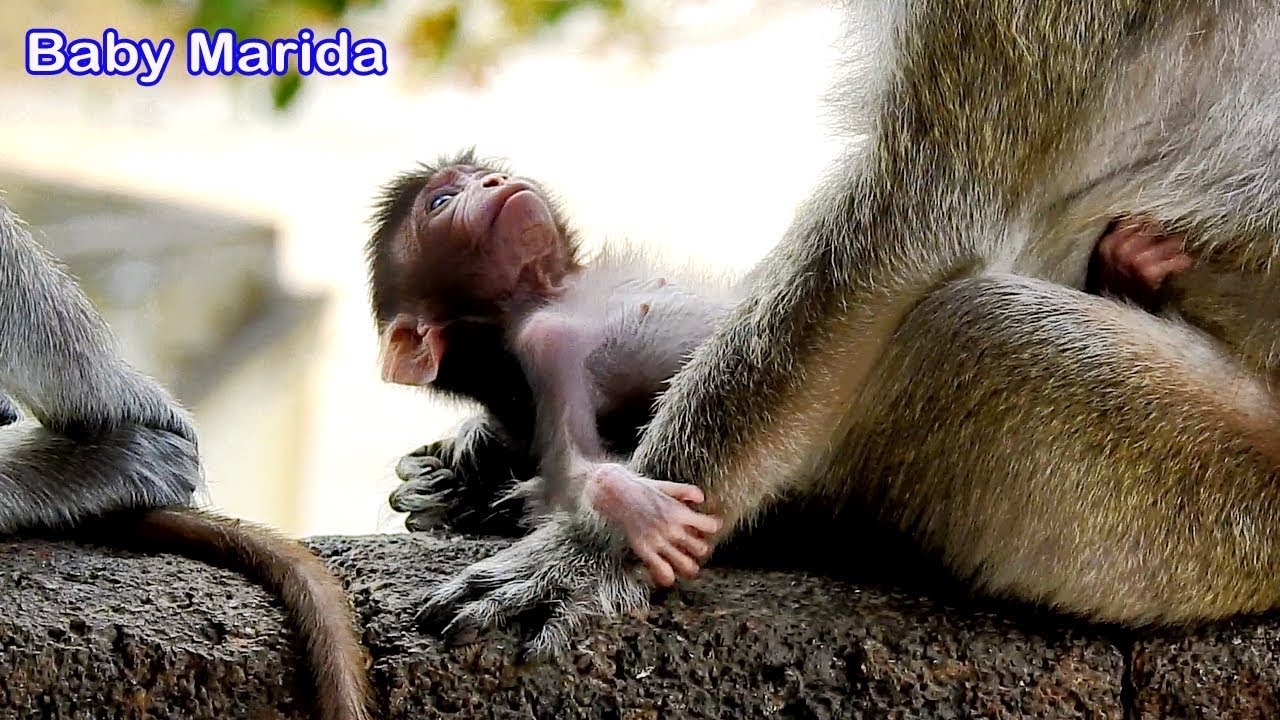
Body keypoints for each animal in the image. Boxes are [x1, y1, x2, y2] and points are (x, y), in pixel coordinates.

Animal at [370, 154, 727, 587]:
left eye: (482, 175)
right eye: (441, 202)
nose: (495, 180)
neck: (549, 291)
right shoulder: (544, 343)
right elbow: (574, 468)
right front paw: (634, 508)